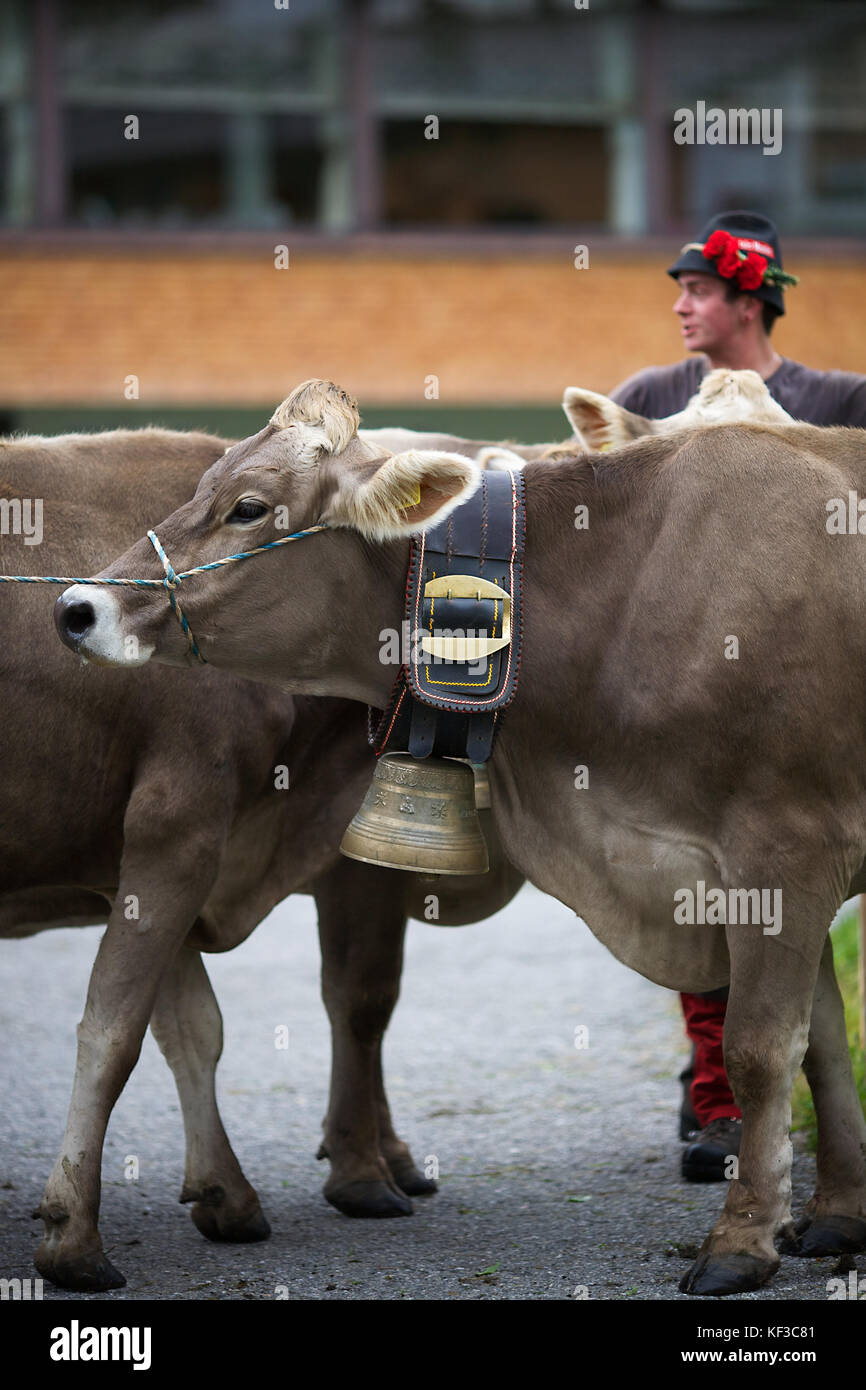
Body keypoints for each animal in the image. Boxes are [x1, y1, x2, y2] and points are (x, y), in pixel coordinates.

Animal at [0, 424, 523, 1291]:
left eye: (245, 506)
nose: (75, 611)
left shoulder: (174, 856)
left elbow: (193, 1028)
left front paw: (227, 1192)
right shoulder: (181, 830)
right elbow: (117, 1030)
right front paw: (74, 1235)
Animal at [58, 378, 866, 1297]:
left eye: (248, 507)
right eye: (204, 484)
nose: (78, 608)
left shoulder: (785, 847)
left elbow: (766, 1048)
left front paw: (743, 1241)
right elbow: (821, 1042)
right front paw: (836, 1213)